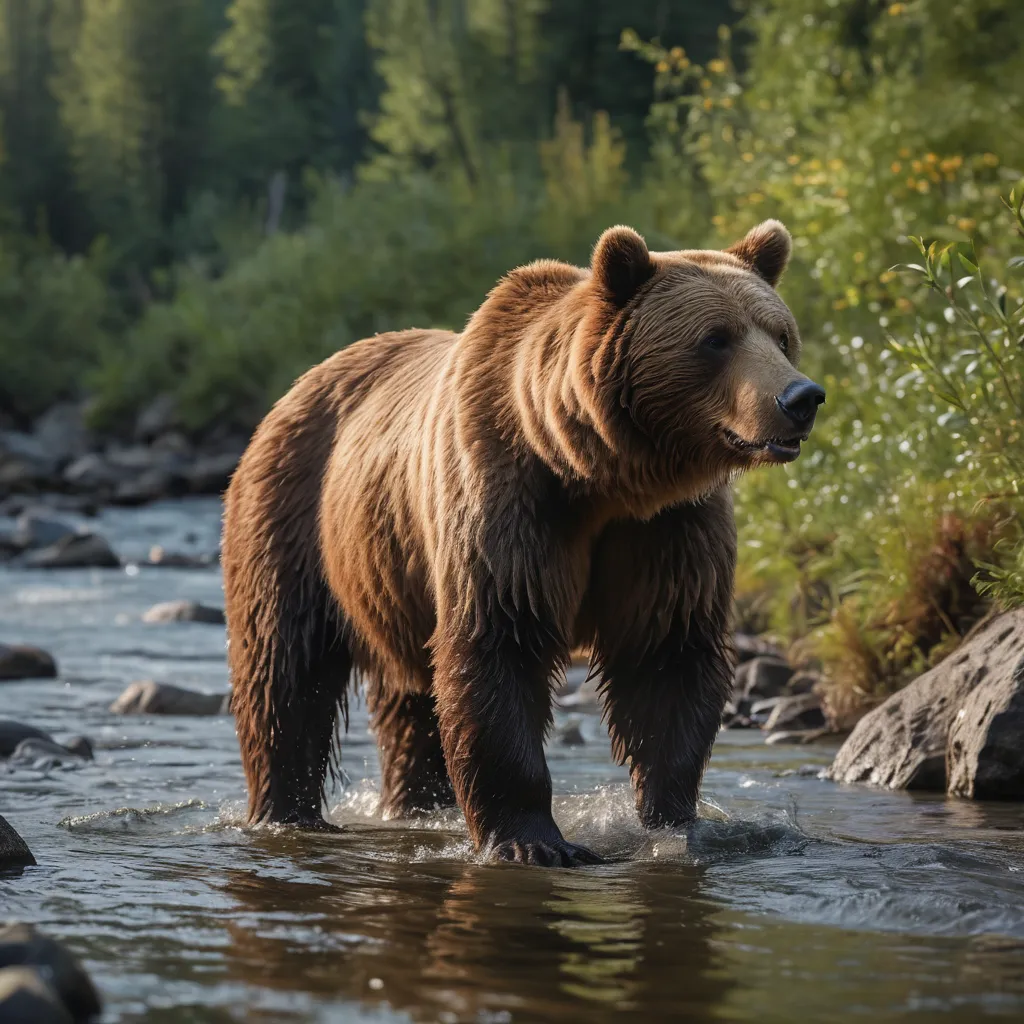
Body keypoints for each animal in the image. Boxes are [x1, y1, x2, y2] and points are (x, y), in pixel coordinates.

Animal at [222, 219, 824, 866]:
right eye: (716, 339)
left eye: (780, 335)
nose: (800, 398)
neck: (598, 474)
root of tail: (299, 384)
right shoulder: (511, 502)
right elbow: (500, 641)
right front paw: (534, 841)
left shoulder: (667, 529)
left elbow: (668, 656)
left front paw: (675, 822)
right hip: (292, 510)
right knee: (284, 671)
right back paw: (286, 812)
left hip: (393, 575)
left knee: (410, 697)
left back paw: (415, 804)